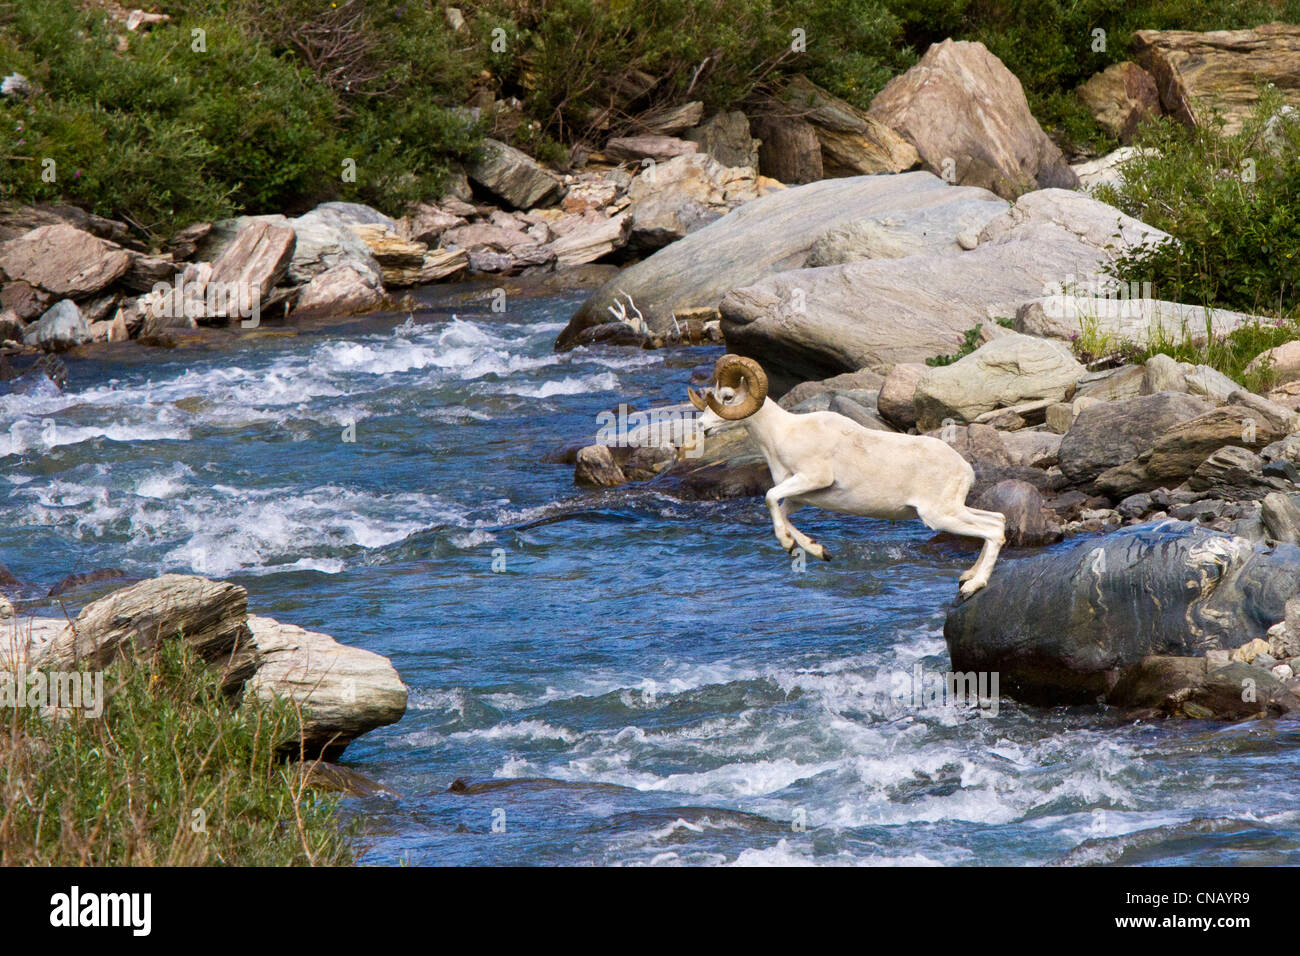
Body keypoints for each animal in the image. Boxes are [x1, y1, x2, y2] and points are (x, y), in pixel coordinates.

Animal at [688, 354, 1006, 598]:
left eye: (727, 397)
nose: (702, 427)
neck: (782, 434)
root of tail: (964, 468)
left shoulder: (812, 479)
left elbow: (769, 498)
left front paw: (788, 545)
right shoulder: (801, 497)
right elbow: (783, 513)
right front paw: (820, 552)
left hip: (939, 516)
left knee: (992, 531)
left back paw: (972, 587)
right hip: (953, 510)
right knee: (998, 522)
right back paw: (966, 577)